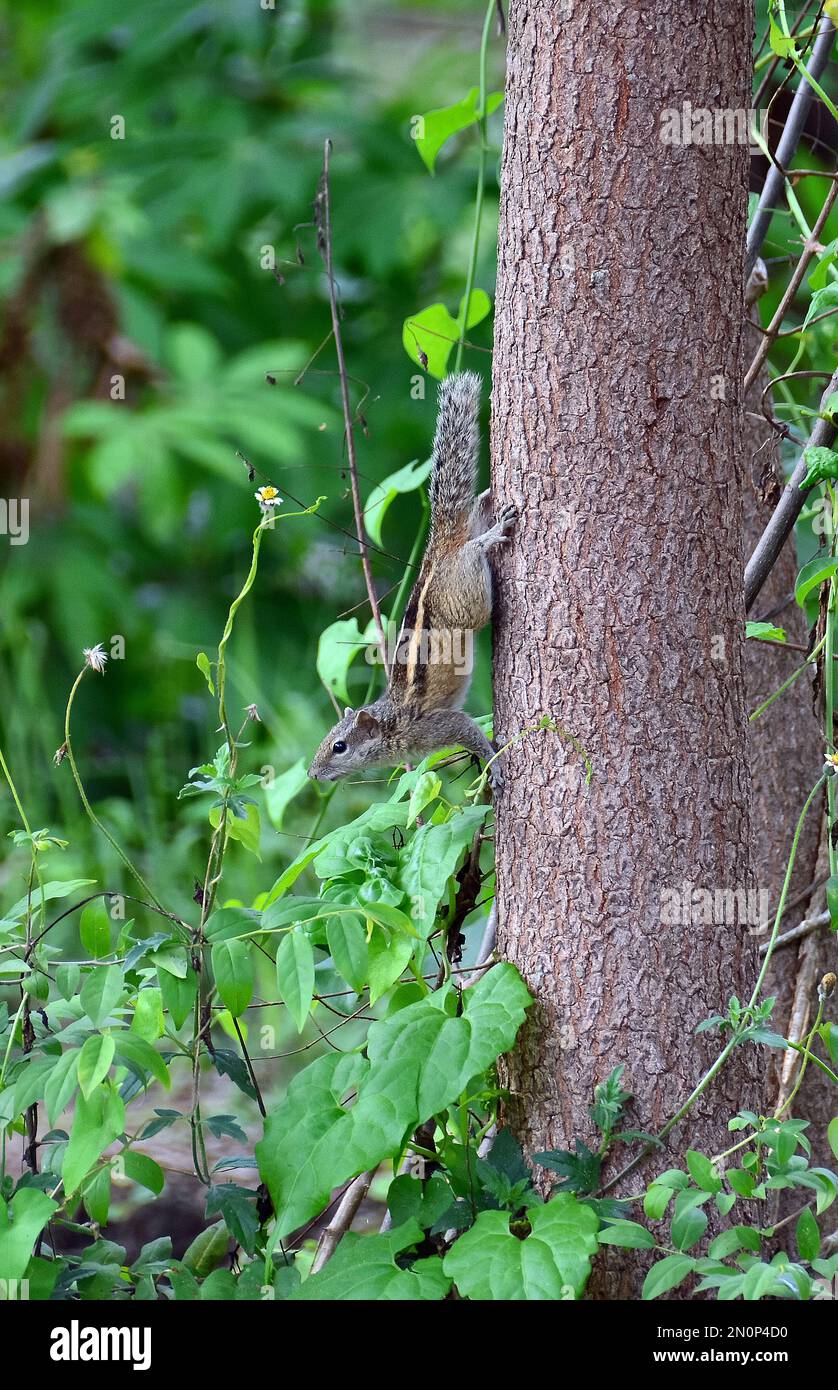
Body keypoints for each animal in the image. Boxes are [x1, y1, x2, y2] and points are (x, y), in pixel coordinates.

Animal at [307, 372, 518, 793]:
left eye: (339, 746)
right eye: (326, 738)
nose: (312, 773)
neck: (391, 723)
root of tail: (436, 551)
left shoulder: (437, 726)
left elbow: (469, 731)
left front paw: (494, 765)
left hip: (464, 594)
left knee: (473, 555)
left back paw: (491, 535)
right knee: (471, 515)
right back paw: (486, 499)